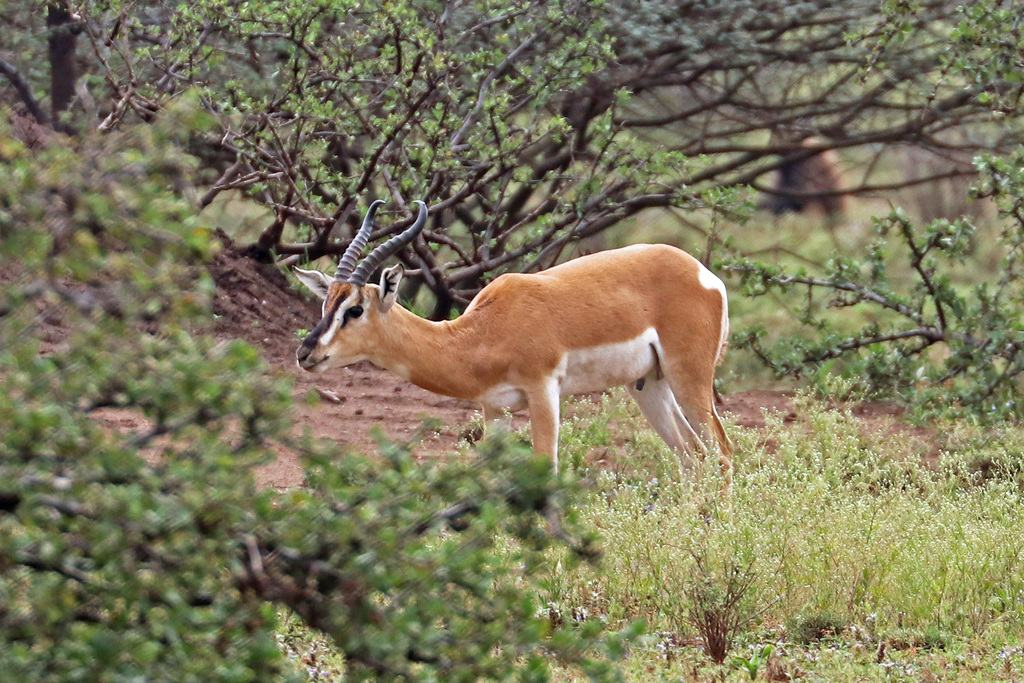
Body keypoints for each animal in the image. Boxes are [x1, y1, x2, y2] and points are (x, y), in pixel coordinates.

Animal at [294, 200, 733, 488]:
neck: (481, 333)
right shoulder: (494, 409)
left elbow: (547, 473)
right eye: (326, 303)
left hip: (688, 376)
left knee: (722, 453)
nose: (305, 353)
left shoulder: (543, 393)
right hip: (648, 385)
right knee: (693, 456)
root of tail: (704, 274)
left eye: (355, 309)